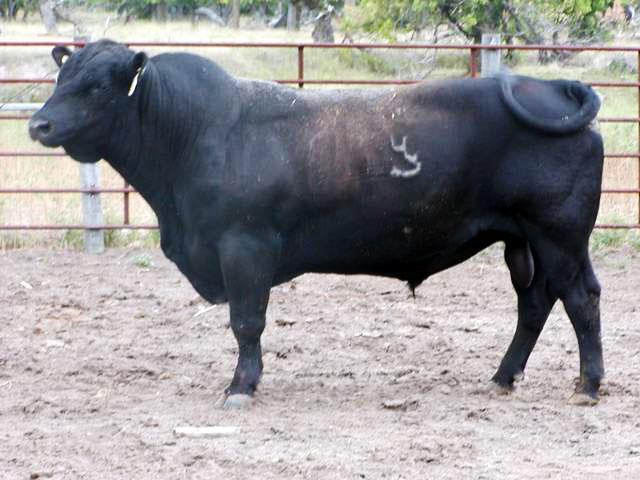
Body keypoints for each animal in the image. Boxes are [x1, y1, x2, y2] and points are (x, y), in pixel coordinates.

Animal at [29, 40, 604, 409]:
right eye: (61, 77)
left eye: (98, 87)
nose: (40, 124)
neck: (200, 133)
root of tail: (553, 87)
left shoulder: (244, 248)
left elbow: (247, 323)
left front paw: (241, 386)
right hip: (525, 241)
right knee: (536, 304)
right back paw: (504, 378)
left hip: (557, 235)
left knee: (580, 300)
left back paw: (588, 385)